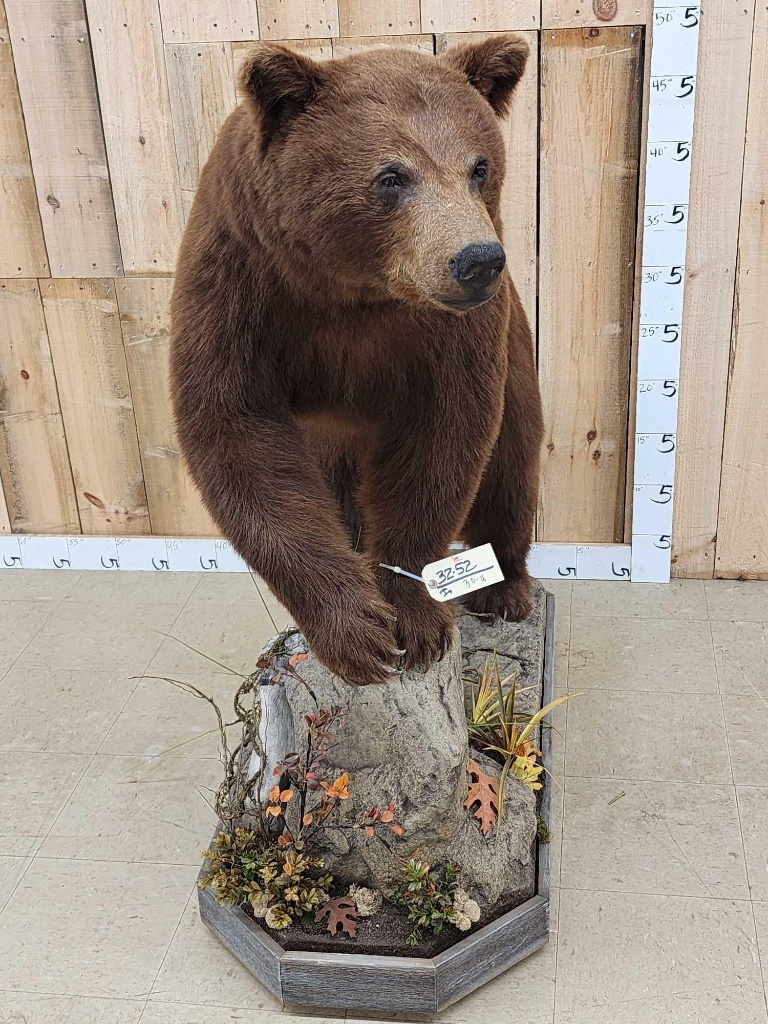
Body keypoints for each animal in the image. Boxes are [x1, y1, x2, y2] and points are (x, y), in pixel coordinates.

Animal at [170, 35, 544, 686]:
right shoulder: (241, 281)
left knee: (511, 461)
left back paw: (503, 589)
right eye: (392, 176)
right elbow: (233, 427)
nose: (477, 260)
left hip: (516, 356)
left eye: (479, 166)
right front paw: (356, 632)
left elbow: (444, 435)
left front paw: (413, 620)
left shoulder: (446, 333)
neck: (353, 290)